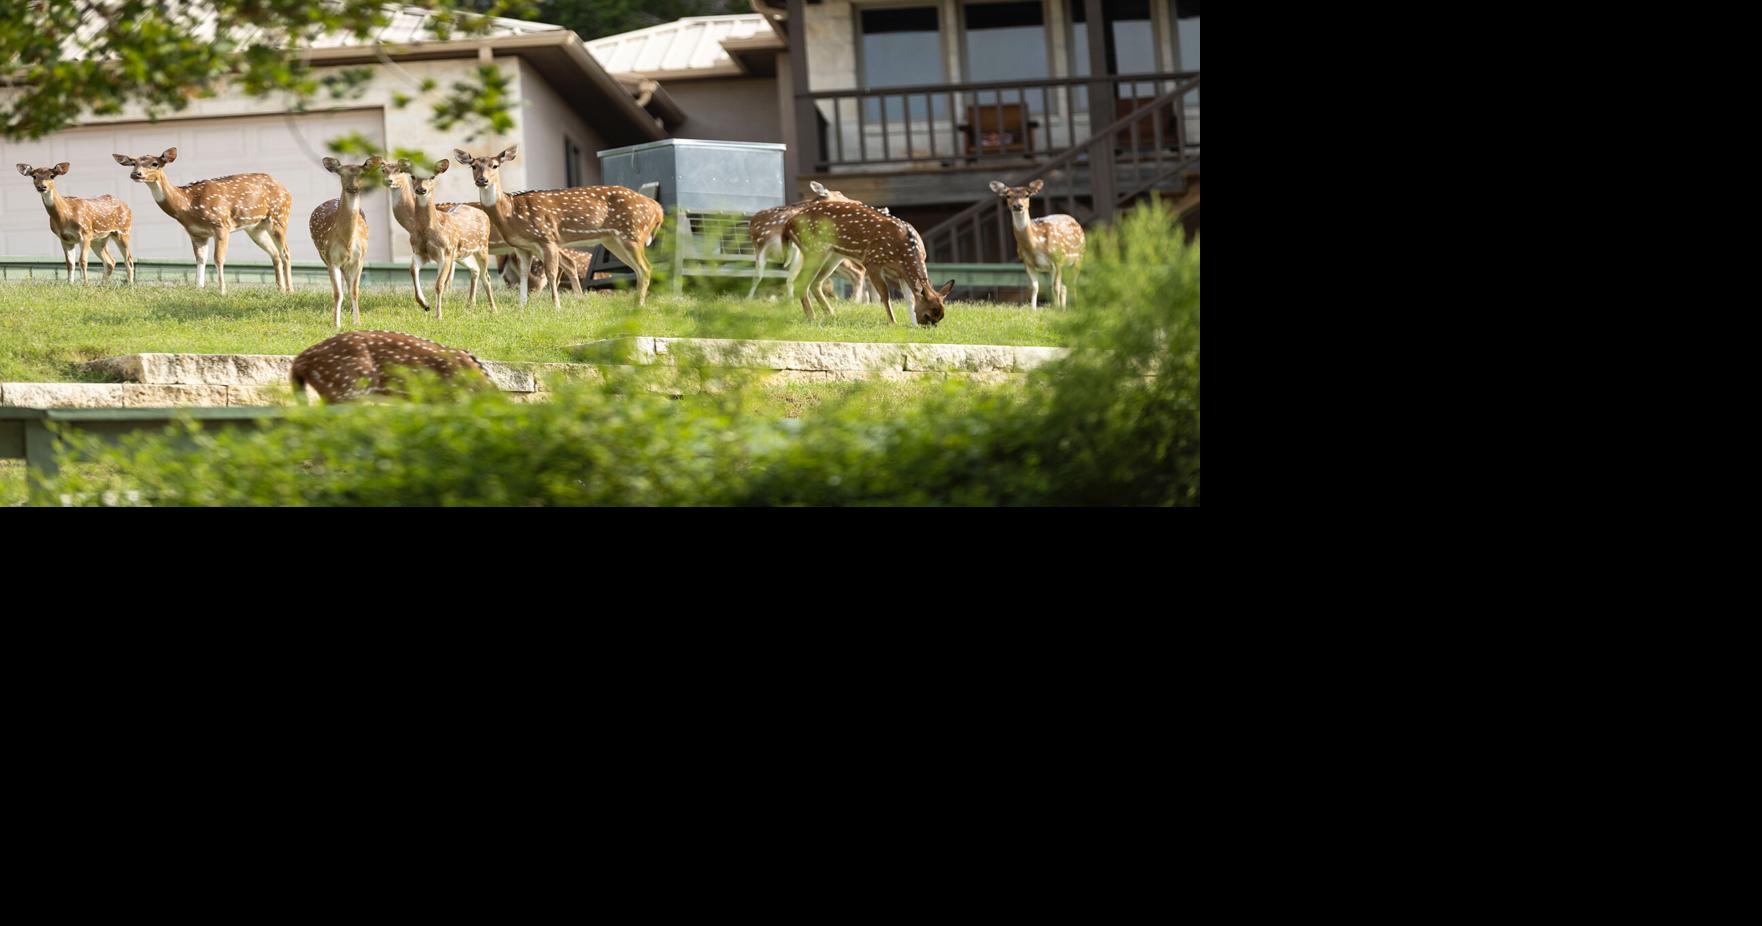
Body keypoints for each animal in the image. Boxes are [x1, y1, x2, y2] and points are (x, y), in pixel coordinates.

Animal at [112, 147, 292, 294]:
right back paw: (279, 289)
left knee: (285, 252)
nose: (136, 174)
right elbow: (200, 259)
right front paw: (199, 288)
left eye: (155, 163)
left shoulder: (221, 224)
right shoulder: (197, 234)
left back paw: (289, 290)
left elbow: (218, 258)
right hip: (255, 228)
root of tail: (286, 190)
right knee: (275, 253)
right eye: (134, 163)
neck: (188, 205)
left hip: (279, 217)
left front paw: (222, 291)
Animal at [309, 156, 378, 328]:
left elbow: (355, 290)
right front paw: (336, 323)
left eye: (362, 173)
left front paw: (357, 322)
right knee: (341, 283)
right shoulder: (331, 258)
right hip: (324, 256)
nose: (352, 187)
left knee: (347, 282)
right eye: (341, 173)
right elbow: (337, 293)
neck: (347, 240)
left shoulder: (359, 259)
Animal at [454, 145, 665, 308]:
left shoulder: (547, 237)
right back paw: (634, 304)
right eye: (474, 166)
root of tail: (658, 208)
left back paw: (639, 305)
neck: (511, 213)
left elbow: (551, 273)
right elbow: (523, 276)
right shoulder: (522, 247)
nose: (482, 180)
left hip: (632, 233)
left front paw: (556, 306)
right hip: (613, 240)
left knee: (646, 268)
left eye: (495, 165)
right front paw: (522, 307)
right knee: (637, 270)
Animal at [785, 201, 952, 326]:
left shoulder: (901, 273)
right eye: (927, 315)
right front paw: (893, 322)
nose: (927, 328)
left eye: (941, 317)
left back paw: (831, 314)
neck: (905, 250)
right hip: (814, 248)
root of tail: (789, 223)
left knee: (816, 283)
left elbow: (909, 298)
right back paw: (812, 317)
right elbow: (884, 295)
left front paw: (912, 325)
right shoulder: (872, 260)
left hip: (834, 256)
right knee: (800, 281)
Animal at [989, 180, 1085, 309]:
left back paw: (1074, 307)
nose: (1018, 206)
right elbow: (1034, 287)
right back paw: (1064, 308)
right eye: (1008, 195)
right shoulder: (1027, 262)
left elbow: (1055, 288)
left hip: (1079, 258)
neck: (1035, 245)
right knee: (1064, 286)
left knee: (1073, 284)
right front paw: (1033, 309)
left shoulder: (1057, 260)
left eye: (1027, 195)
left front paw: (1056, 309)